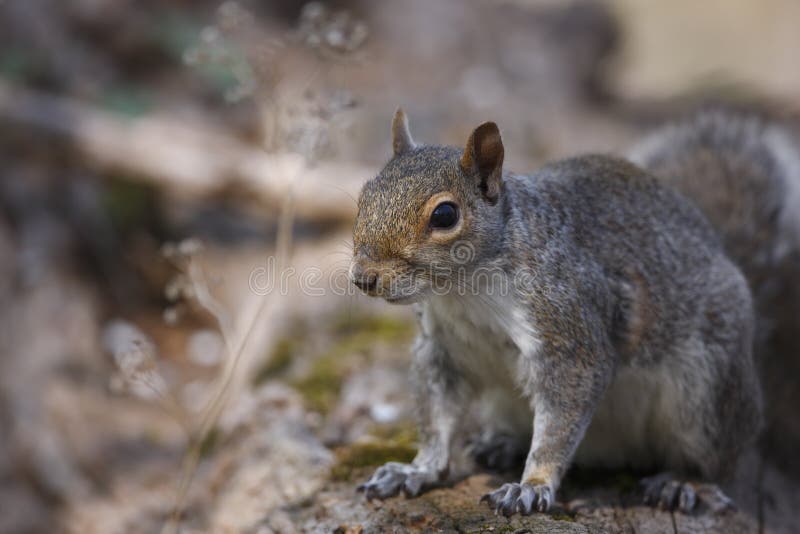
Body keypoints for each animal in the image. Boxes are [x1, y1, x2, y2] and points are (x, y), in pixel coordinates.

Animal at [350, 108, 798, 516]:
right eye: (364, 196)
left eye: (445, 215)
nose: (364, 278)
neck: (464, 293)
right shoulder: (443, 351)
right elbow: (437, 418)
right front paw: (417, 470)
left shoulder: (567, 329)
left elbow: (559, 419)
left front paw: (532, 486)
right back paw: (501, 444)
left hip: (708, 393)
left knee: (720, 459)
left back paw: (684, 481)